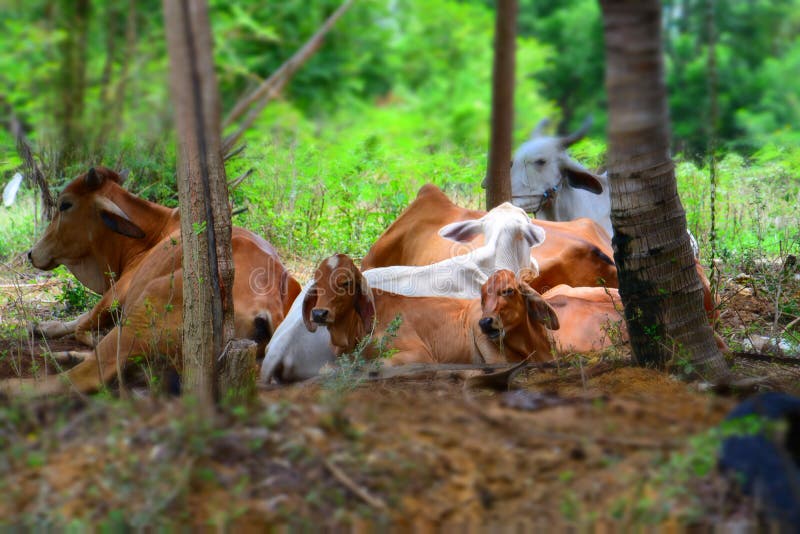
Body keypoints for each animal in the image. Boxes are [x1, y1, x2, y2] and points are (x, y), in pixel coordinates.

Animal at [2, 166, 301, 397]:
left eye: (65, 204)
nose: (32, 253)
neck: (148, 236)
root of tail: (270, 305)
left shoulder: (116, 293)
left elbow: (82, 323)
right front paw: (42, 327)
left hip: (146, 304)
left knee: (85, 375)